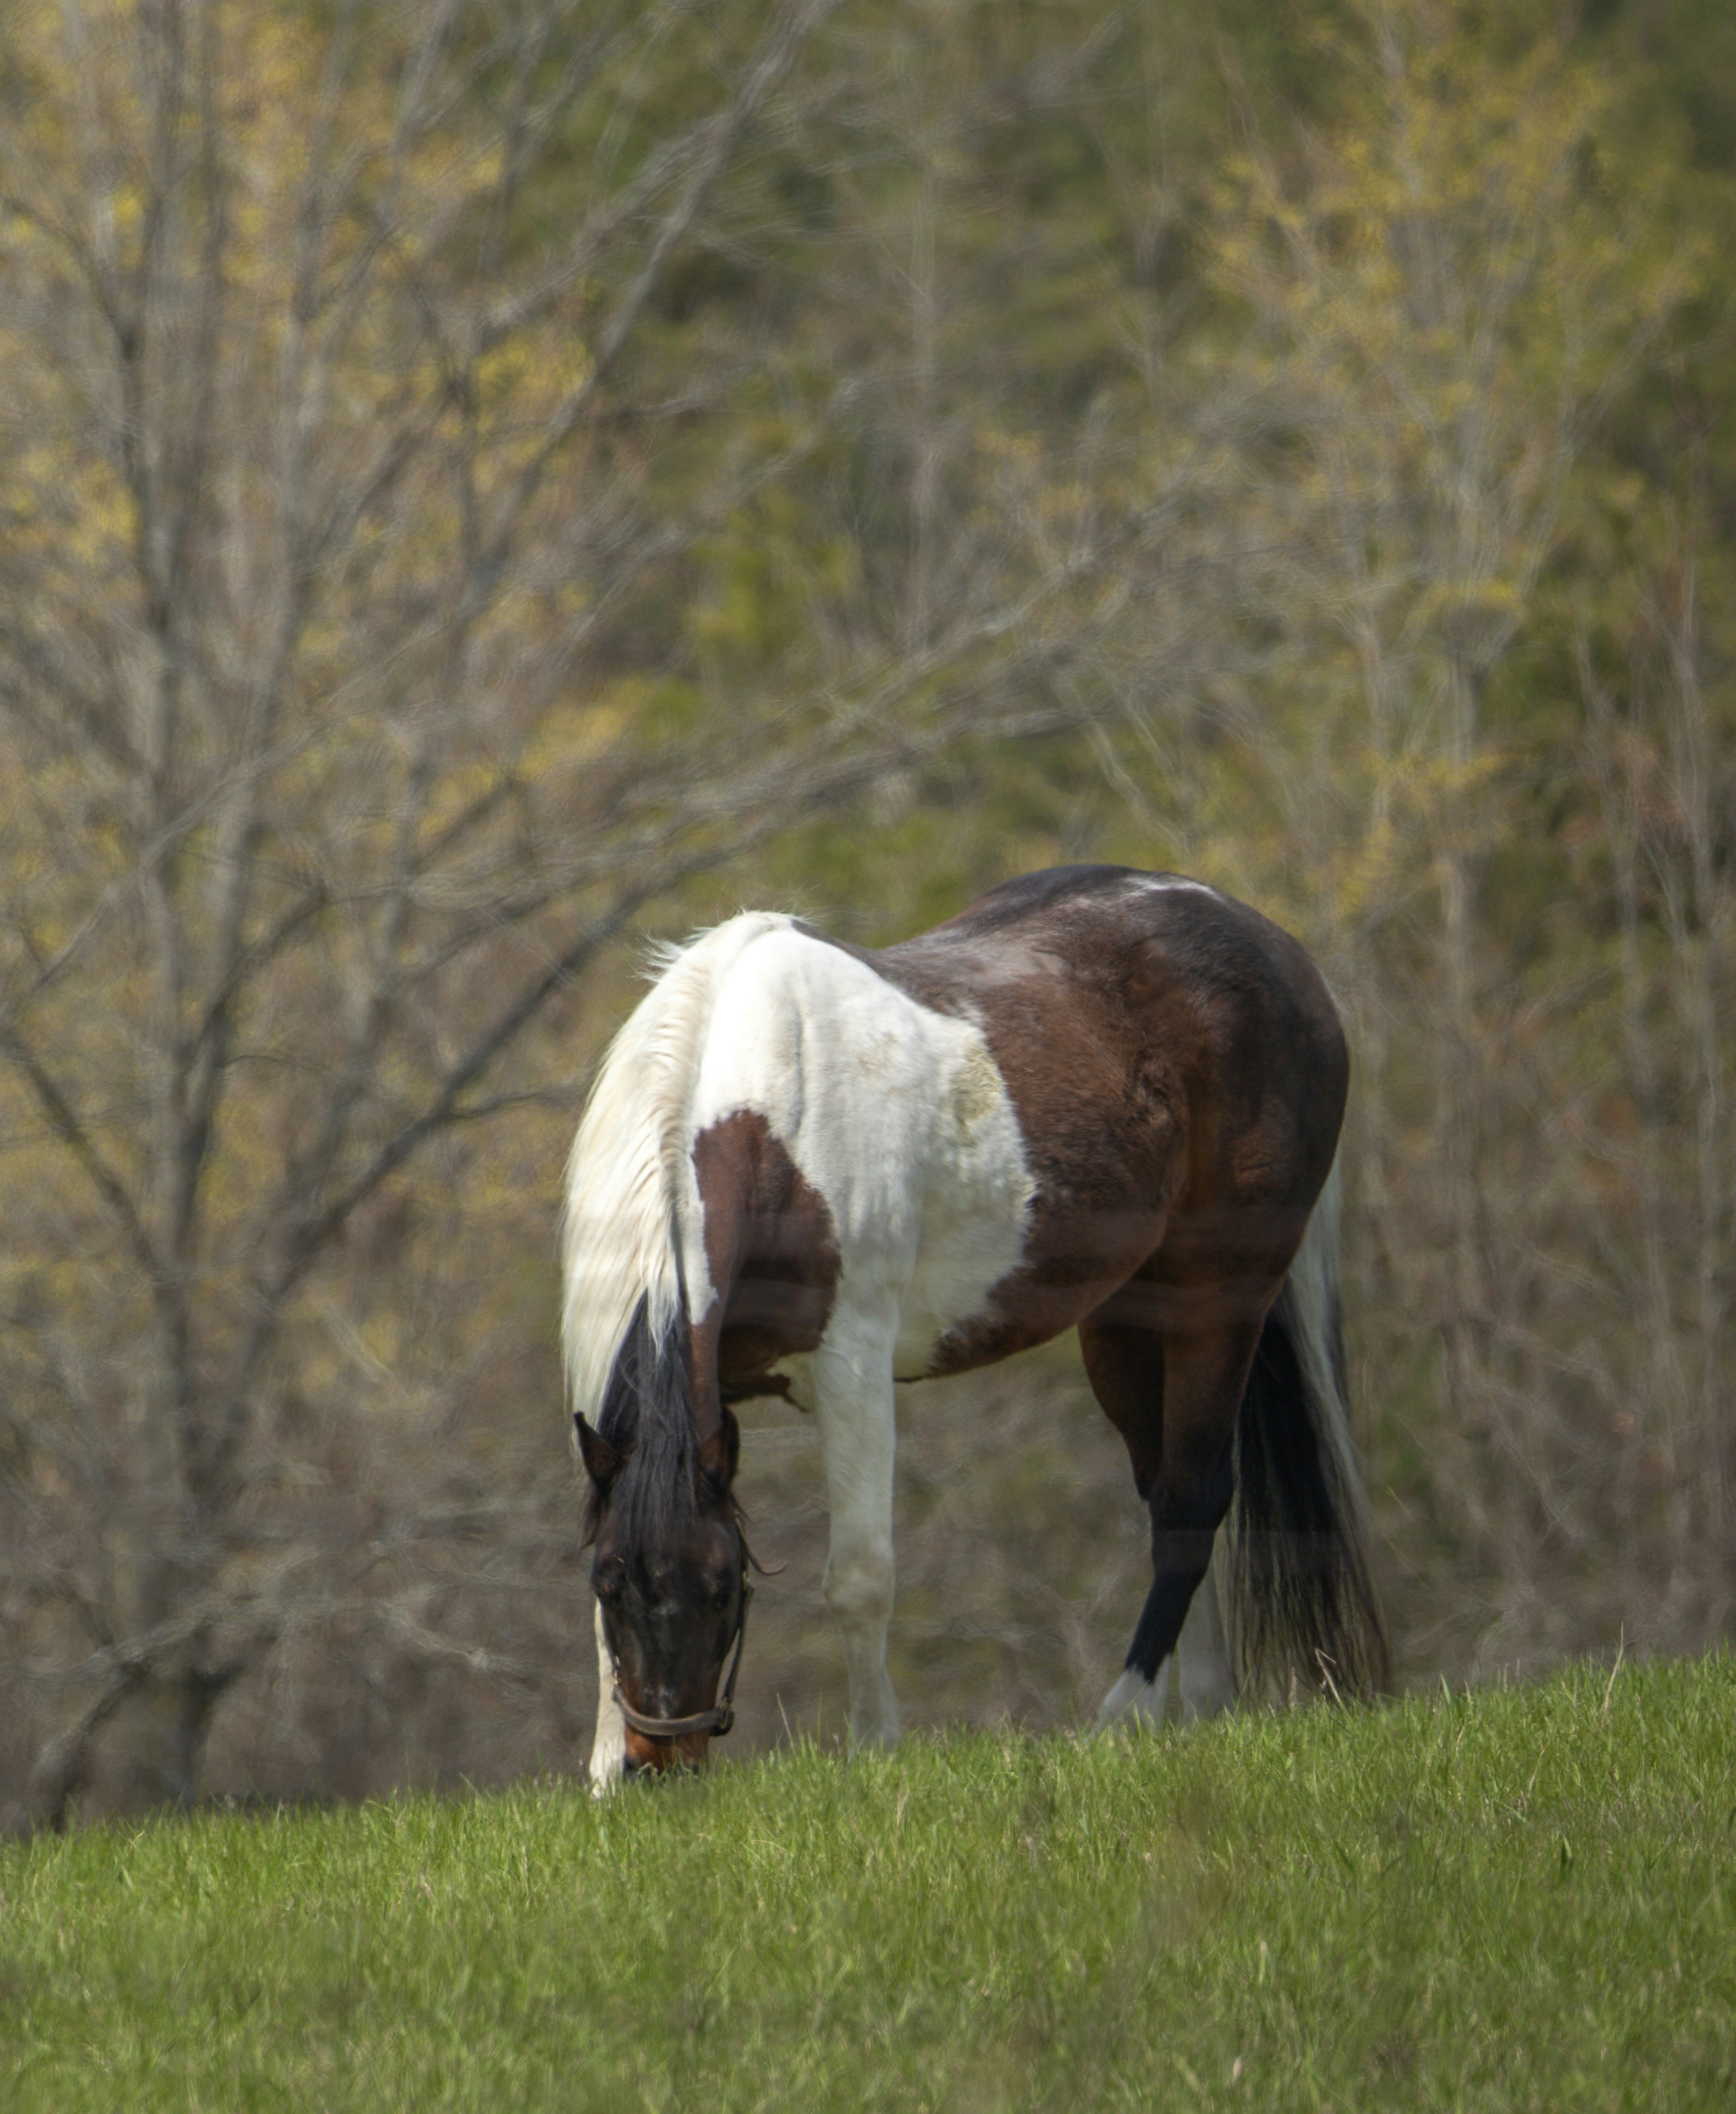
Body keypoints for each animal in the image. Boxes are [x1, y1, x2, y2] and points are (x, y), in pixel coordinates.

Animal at [561, 864, 1388, 1785]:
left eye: (722, 1585)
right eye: (610, 1584)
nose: (658, 1764)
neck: (760, 1122)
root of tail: (1277, 953)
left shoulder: (851, 1370)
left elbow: (860, 1576)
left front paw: (873, 1750)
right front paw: (600, 1774)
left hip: (1220, 1297)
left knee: (1191, 1498)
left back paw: (1122, 1716)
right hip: (1128, 1320)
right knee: (1170, 1491)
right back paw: (1198, 1709)